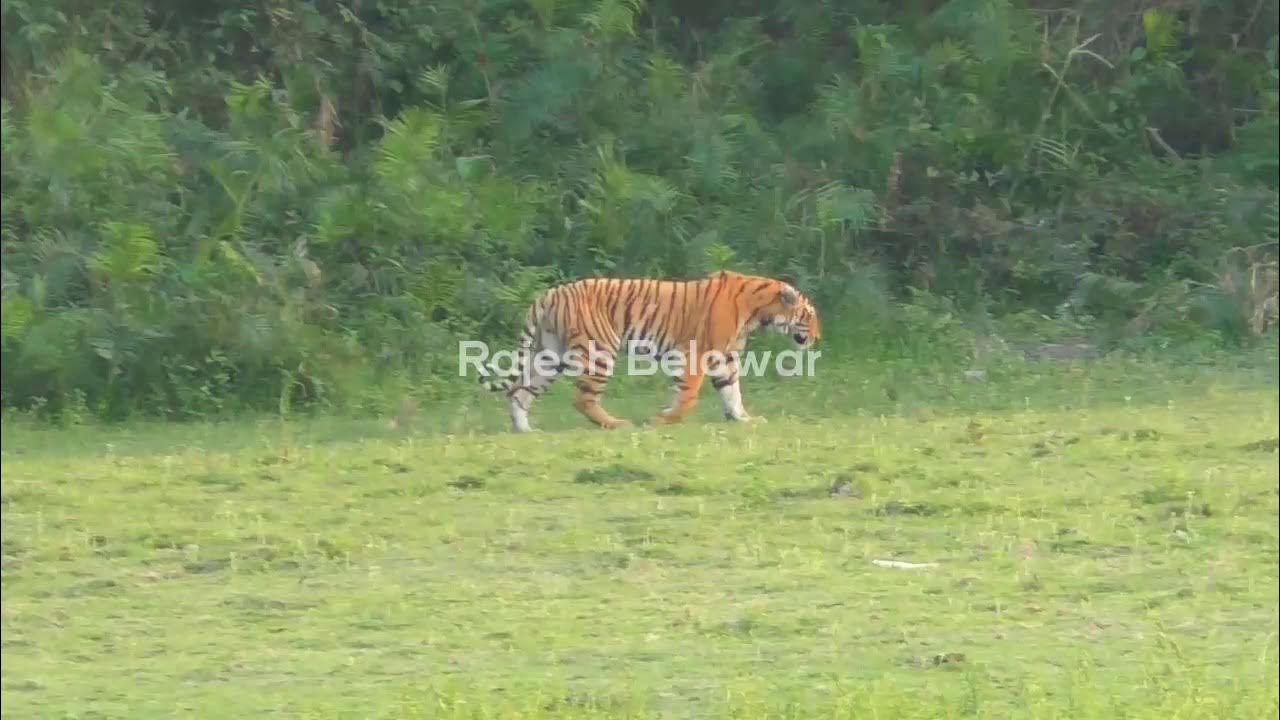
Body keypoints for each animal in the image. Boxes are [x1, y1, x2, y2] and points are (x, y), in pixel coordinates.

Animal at [475, 270, 821, 433]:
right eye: (809, 315)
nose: (818, 337)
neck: (758, 313)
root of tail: (548, 294)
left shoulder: (725, 359)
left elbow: (731, 393)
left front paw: (743, 419)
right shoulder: (697, 355)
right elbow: (688, 396)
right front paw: (663, 419)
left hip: (550, 356)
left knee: (519, 392)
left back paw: (525, 430)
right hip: (599, 351)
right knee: (582, 399)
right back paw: (617, 424)